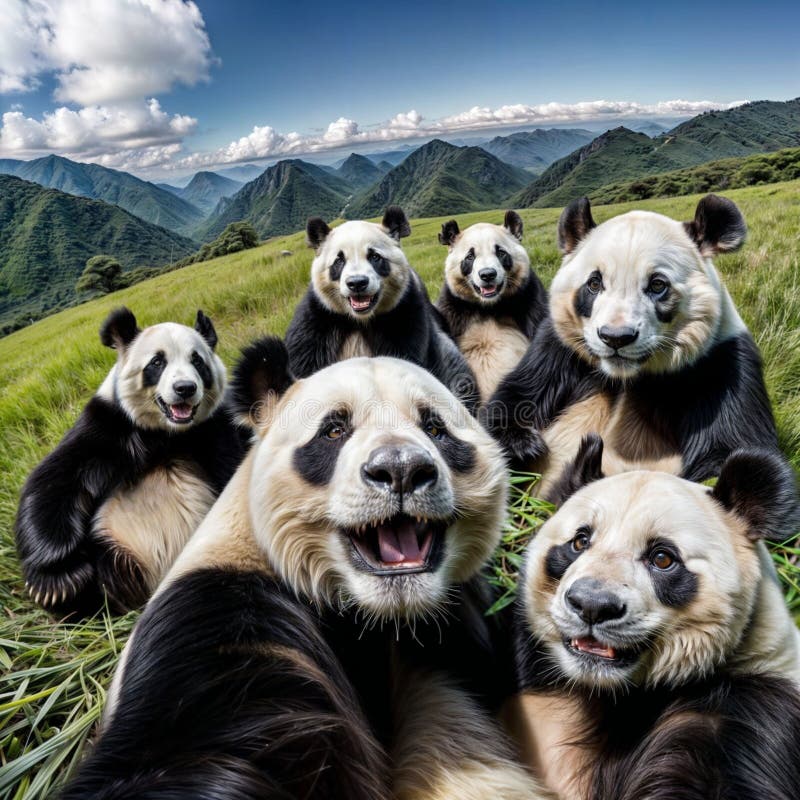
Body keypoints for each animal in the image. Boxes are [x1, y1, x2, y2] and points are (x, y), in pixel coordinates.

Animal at [15, 306, 245, 617]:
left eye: (197, 361)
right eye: (157, 362)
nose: (184, 388)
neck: (166, 434)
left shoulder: (213, 429)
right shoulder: (108, 425)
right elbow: (55, 479)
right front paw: (54, 583)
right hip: (112, 546)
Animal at [285, 205, 480, 412]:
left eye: (374, 257)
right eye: (339, 261)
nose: (357, 283)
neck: (360, 319)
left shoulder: (401, 315)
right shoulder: (321, 317)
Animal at [436, 210, 548, 402]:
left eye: (501, 252)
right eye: (470, 256)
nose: (487, 274)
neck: (489, 307)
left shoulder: (531, 301)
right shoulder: (451, 310)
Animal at [486, 194, 778, 496]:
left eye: (658, 285)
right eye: (594, 283)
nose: (616, 337)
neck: (624, 376)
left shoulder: (722, 363)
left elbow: (736, 457)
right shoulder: (558, 348)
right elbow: (514, 399)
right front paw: (526, 444)